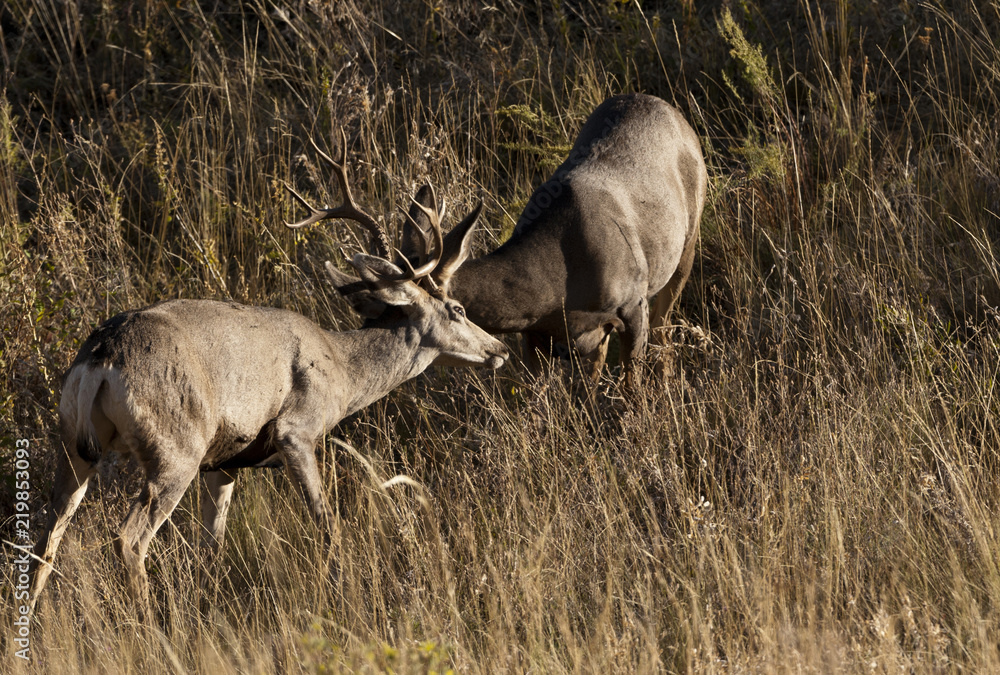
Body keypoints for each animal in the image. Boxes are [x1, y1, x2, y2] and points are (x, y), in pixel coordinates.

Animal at [28, 133, 509, 616]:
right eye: (458, 309)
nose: (499, 350)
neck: (342, 367)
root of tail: (101, 356)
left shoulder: (223, 462)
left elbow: (212, 545)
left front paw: (210, 604)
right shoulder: (294, 429)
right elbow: (327, 523)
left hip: (73, 443)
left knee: (46, 537)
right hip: (175, 447)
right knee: (128, 539)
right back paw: (150, 621)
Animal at [399, 93, 707, 384]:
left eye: (455, 310)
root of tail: (662, 104)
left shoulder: (633, 303)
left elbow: (632, 385)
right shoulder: (534, 335)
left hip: (687, 243)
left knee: (662, 323)